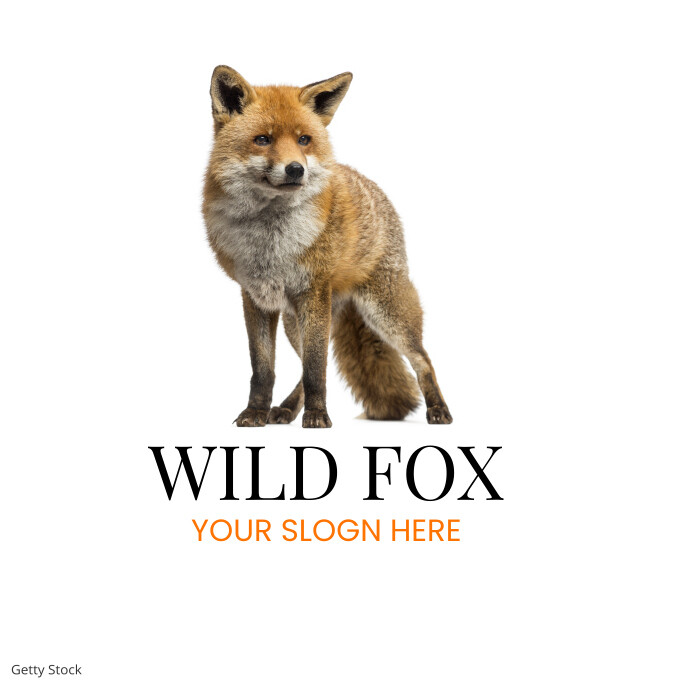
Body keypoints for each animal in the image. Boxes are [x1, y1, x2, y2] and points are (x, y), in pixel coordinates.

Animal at [202, 66, 452, 428]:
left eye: (304, 140)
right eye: (263, 139)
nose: (296, 169)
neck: (270, 241)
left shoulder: (313, 293)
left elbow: (315, 368)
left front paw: (317, 416)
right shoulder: (256, 297)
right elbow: (264, 370)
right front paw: (255, 413)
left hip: (385, 313)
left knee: (423, 359)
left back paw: (439, 409)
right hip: (298, 321)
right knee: (306, 366)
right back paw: (285, 409)